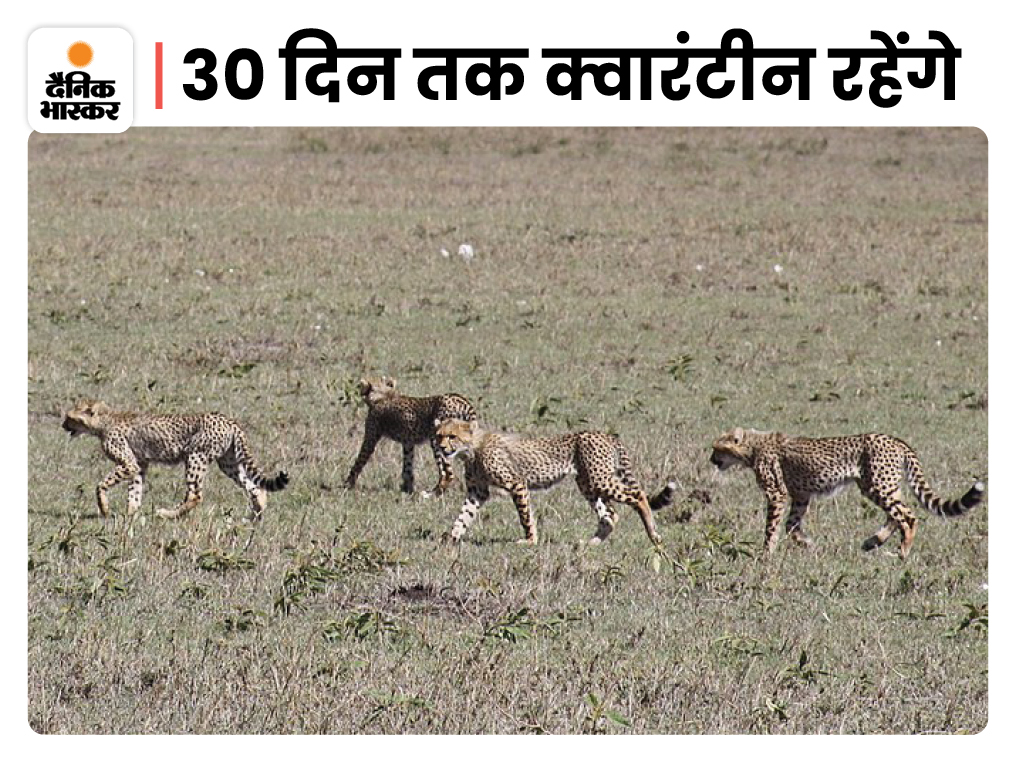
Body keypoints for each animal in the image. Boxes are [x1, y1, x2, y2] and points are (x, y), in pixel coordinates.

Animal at [62, 400, 289, 520]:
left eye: (70, 417)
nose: (63, 426)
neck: (104, 421)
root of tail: (228, 419)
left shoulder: (129, 463)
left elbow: (101, 484)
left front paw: (105, 508)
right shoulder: (139, 464)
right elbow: (135, 490)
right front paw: (131, 514)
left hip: (195, 456)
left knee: (195, 495)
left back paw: (167, 513)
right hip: (228, 462)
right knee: (254, 486)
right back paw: (256, 513)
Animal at [344, 376, 476, 496]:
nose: (360, 387)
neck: (384, 394)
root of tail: (461, 400)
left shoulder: (370, 439)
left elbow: (359, 462)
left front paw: (347, 486)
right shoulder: (408, 443)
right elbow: (407, 467)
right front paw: (407, 490)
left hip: (437, 440)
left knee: (447, 474)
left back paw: (431, 494)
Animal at [433, 418, 677, 546]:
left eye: (452, 436)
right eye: (439, 435)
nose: (442, 448)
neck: (472, 447)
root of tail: (605, 434)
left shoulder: (516, 484)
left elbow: (525, 516)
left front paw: (530, 540)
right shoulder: (478, 492)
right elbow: (464, 515)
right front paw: (451, 537)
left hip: (600, 479)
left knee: (638, 495)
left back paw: (653, 535)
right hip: (587, 483)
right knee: (610, 514)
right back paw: (591, 543)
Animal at [709, 426, 984, 558]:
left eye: (717, 447)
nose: (711, 459)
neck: (752, 446)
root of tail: (895, 439)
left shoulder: (777, 494)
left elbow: (772, 527)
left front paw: (766, 553)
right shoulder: (801, 496)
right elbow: (791, 525)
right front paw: (807, 544)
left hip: (878, 486)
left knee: (907, 516)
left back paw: (903, 550)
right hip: (879, 486)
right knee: (895, 515)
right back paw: (874, 541)